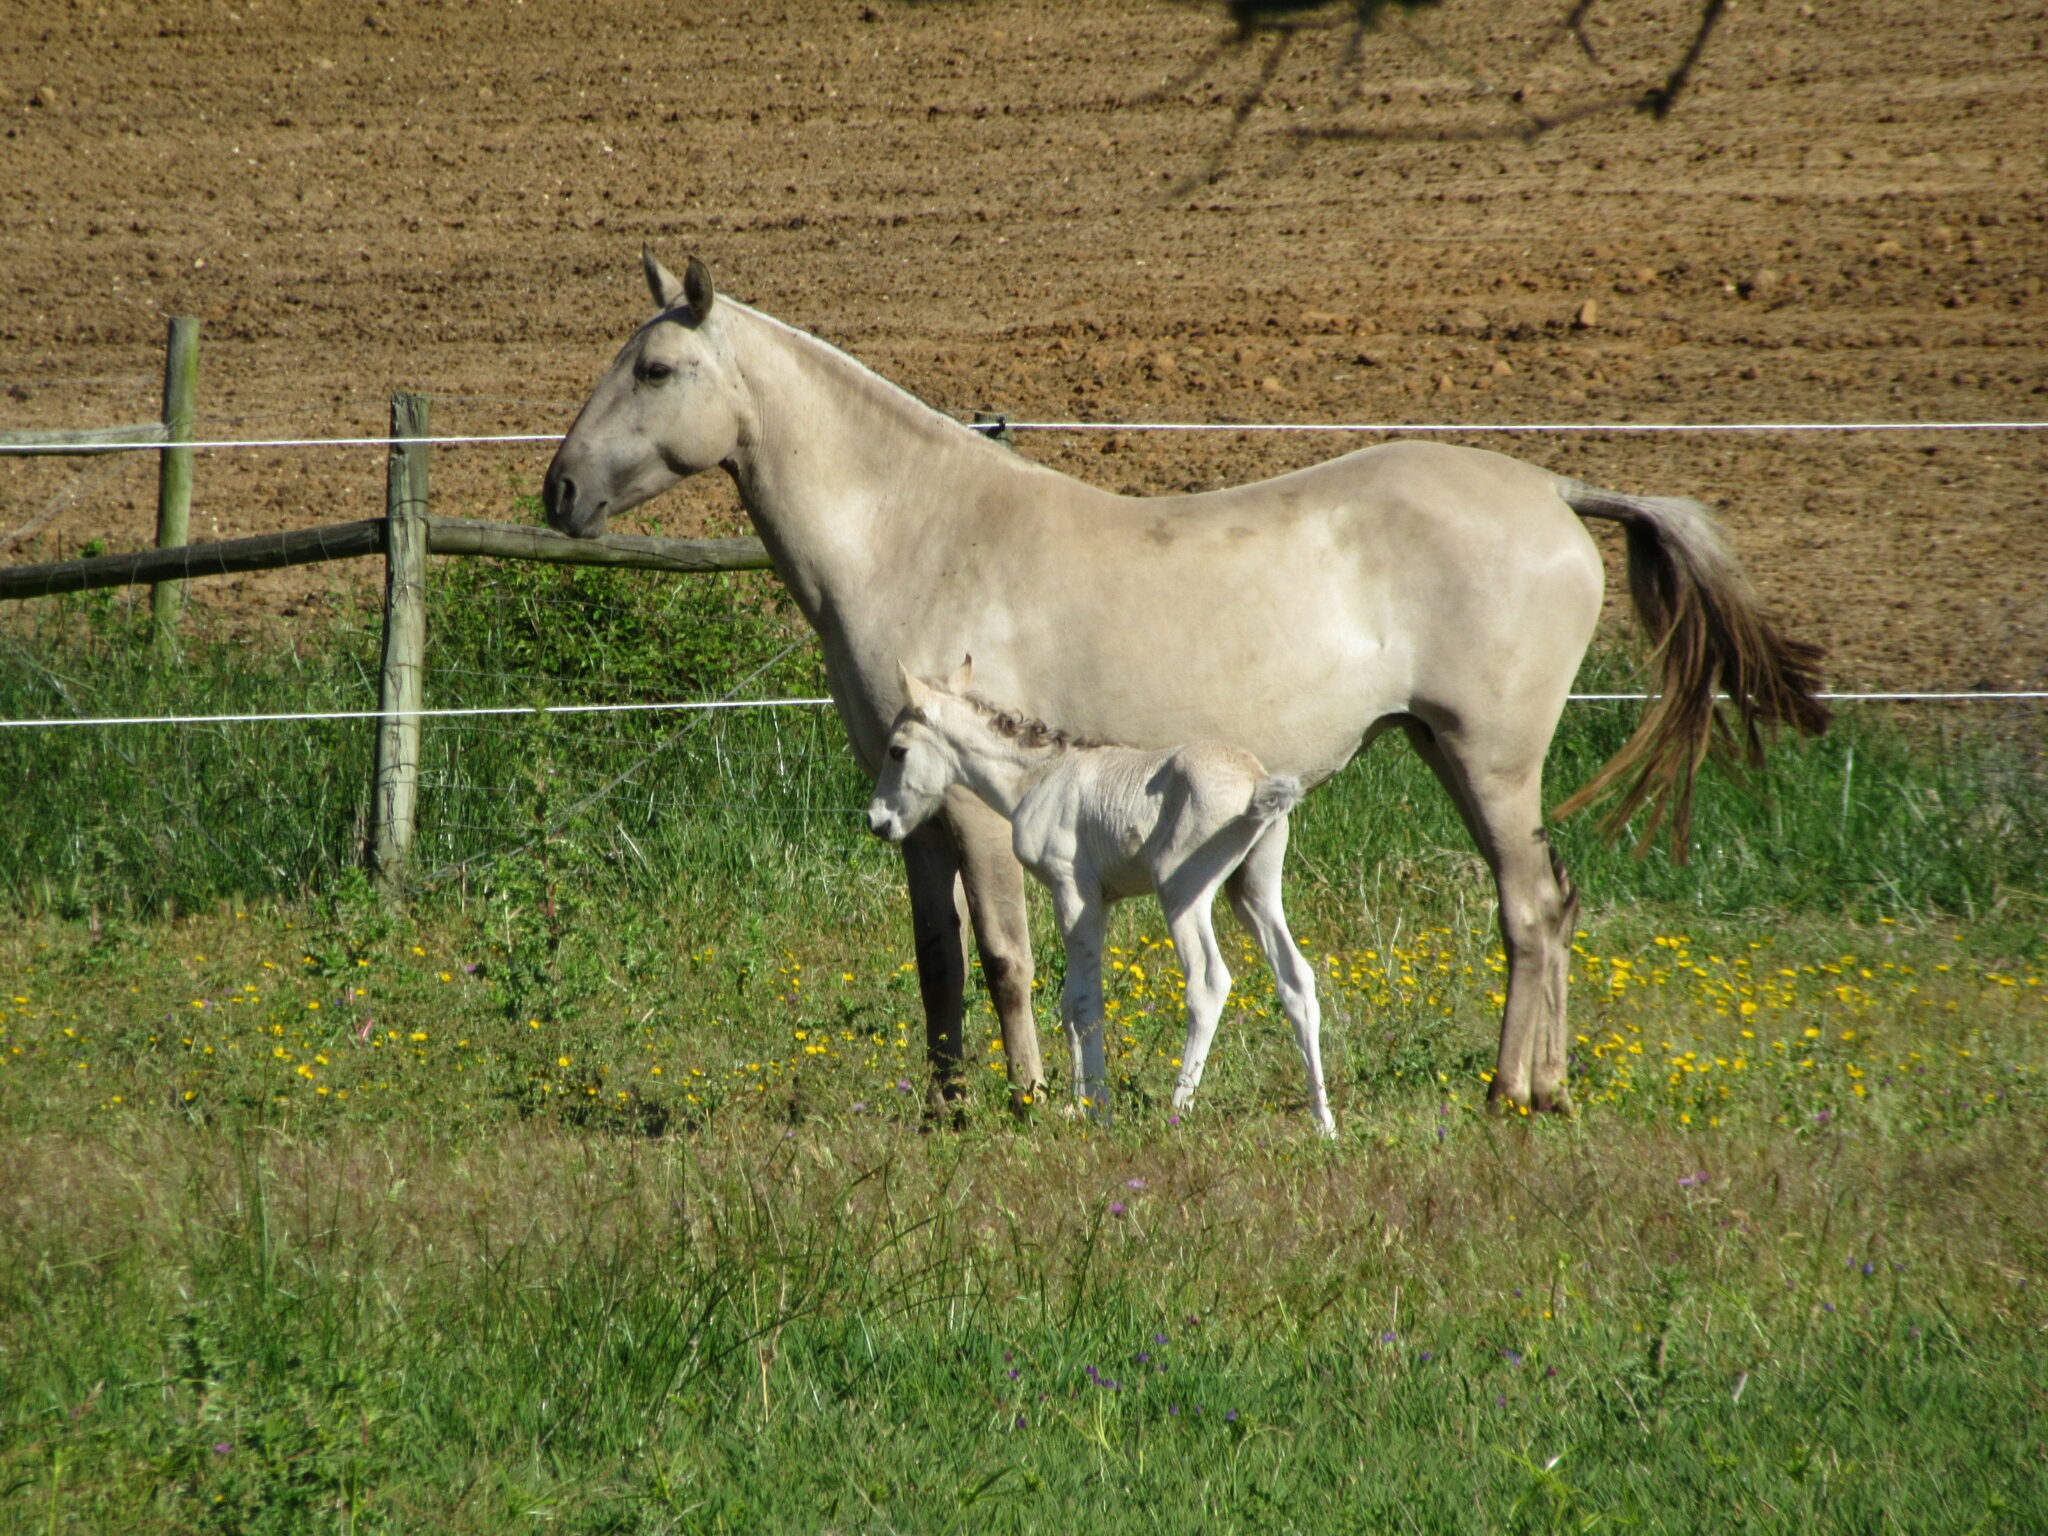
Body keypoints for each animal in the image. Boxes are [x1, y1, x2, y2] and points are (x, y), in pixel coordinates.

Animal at [867, 658, 1331, 1135]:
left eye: (897, 750)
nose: (878, 821)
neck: (1036, 778)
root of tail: (1257, 782)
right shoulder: (1102, 901)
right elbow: (1075, 999)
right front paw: (1083, 1103)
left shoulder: (1073, 891)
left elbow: (1081, 1001)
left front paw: (1095, 1108)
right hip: (1253, 888)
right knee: (1296, 978)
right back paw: (1324, 1121)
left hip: (1182, 889)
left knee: (1208, 981)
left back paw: (1177, 1109)